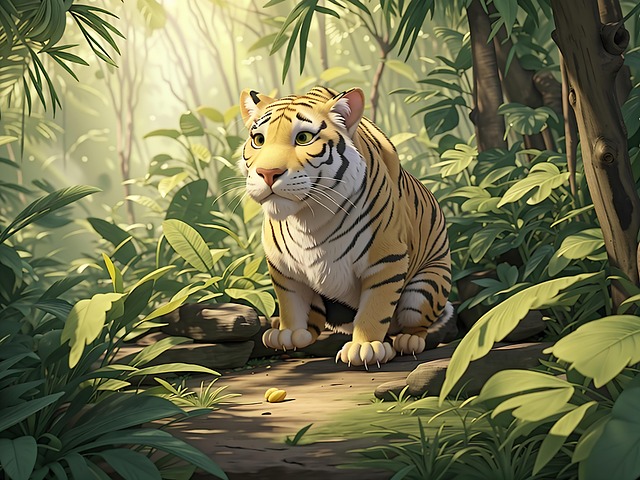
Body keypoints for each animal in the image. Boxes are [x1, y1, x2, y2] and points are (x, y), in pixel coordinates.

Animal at [239, 86, 453, 368]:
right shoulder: (282, 267)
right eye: (259, 140)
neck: (307, 219)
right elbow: (290, 300)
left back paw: (409, 341)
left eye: (303, 138)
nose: (267, 173)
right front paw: (289, 332)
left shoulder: (386, 259)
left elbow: (376, 306)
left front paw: (365, 347)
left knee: (414, 322)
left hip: (423, 291)